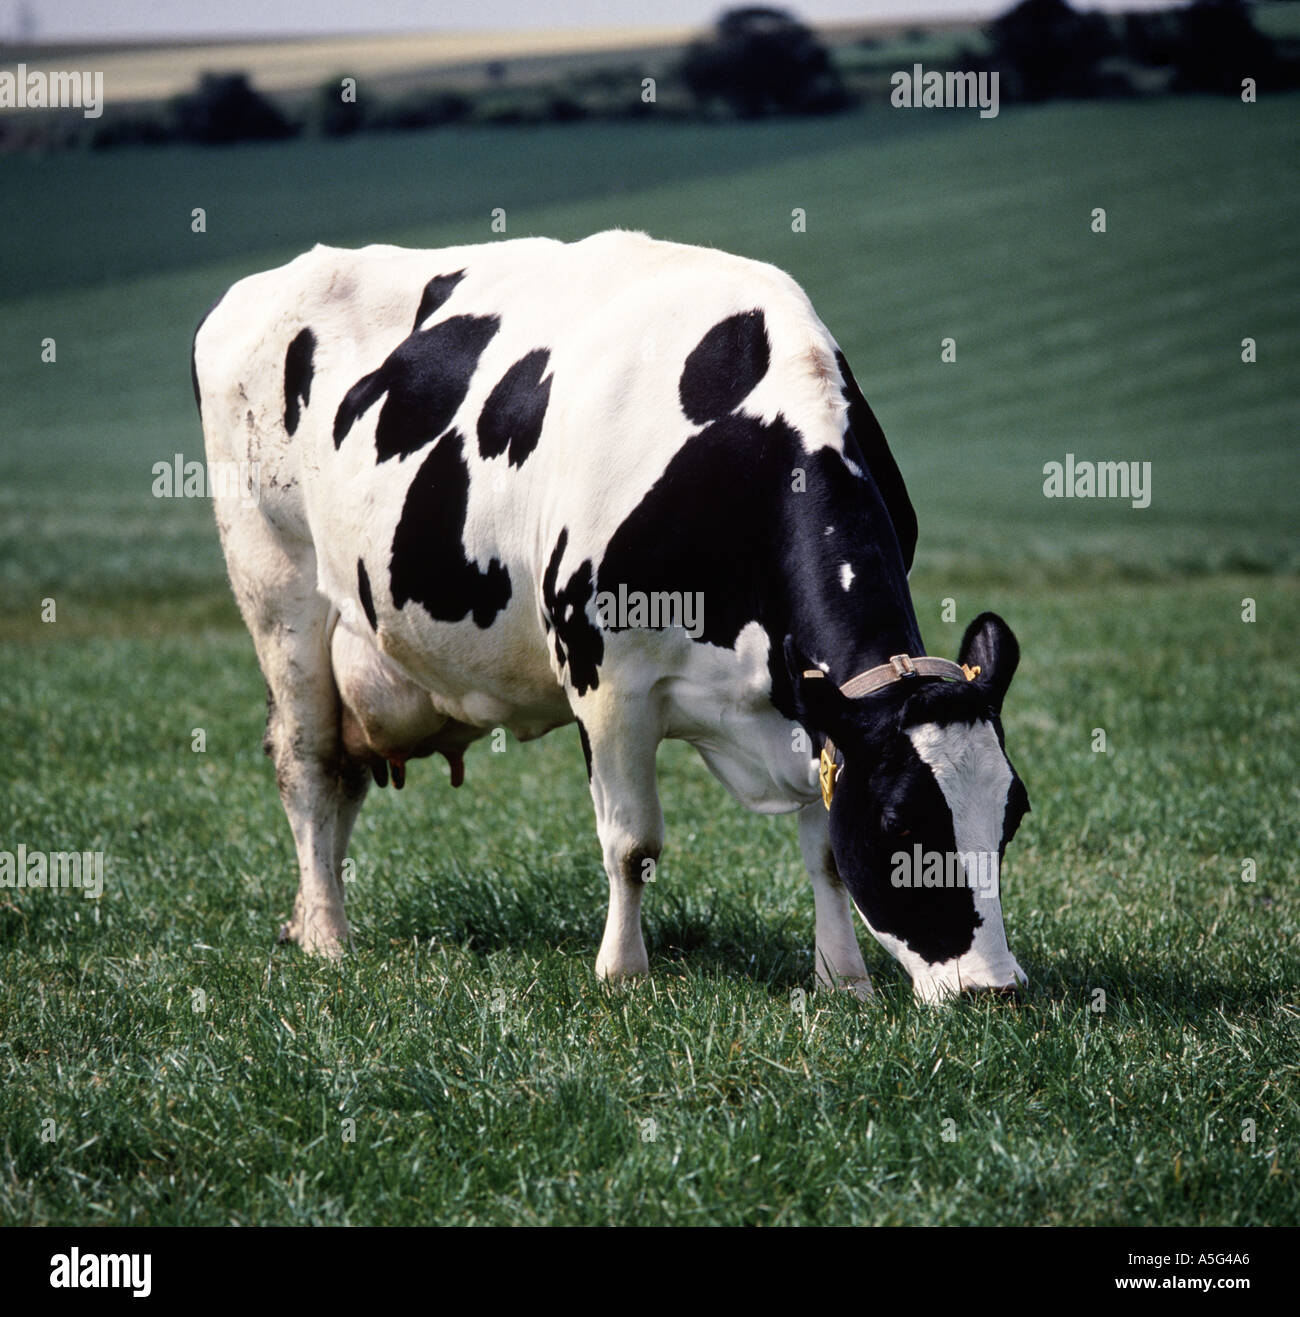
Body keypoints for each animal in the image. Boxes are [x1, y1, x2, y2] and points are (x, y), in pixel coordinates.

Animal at [192, 229, 1030, 1003]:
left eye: (1013, 815)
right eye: (900, 824)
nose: (994, 989)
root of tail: (258, 286)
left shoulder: (808, 702)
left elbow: (822, 844)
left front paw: (842, 979)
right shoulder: (606, 678)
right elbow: (633, 842)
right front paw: (623, 972)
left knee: (344, 775)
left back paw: (306, 917)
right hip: (278, 588)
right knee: (307, 764)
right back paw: (327, 936)